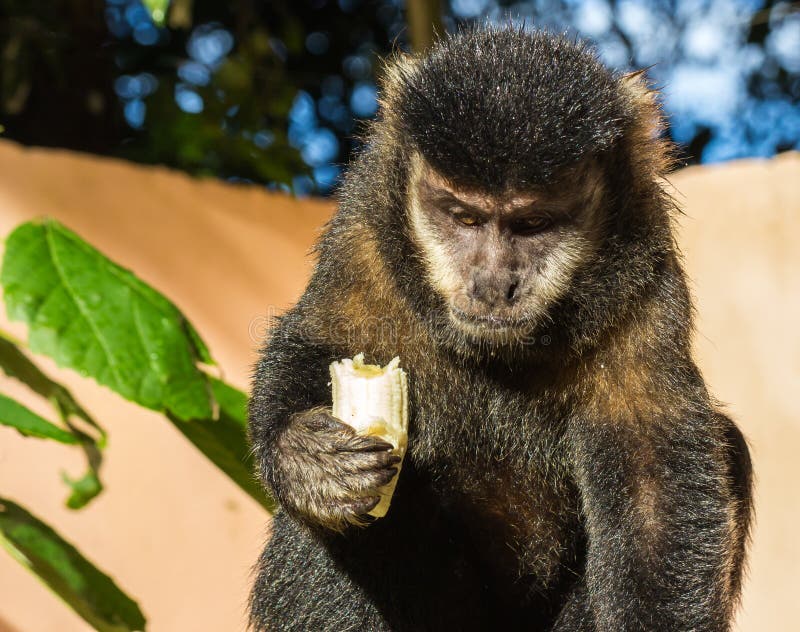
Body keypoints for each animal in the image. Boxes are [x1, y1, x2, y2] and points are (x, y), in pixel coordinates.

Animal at [248, 28, 753, 631]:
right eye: (464, 218)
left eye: (532, 224)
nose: (493, 284)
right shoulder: (365, 231)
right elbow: (316, 341)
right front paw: (301, 453)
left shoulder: (642, 274)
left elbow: (654, 475)